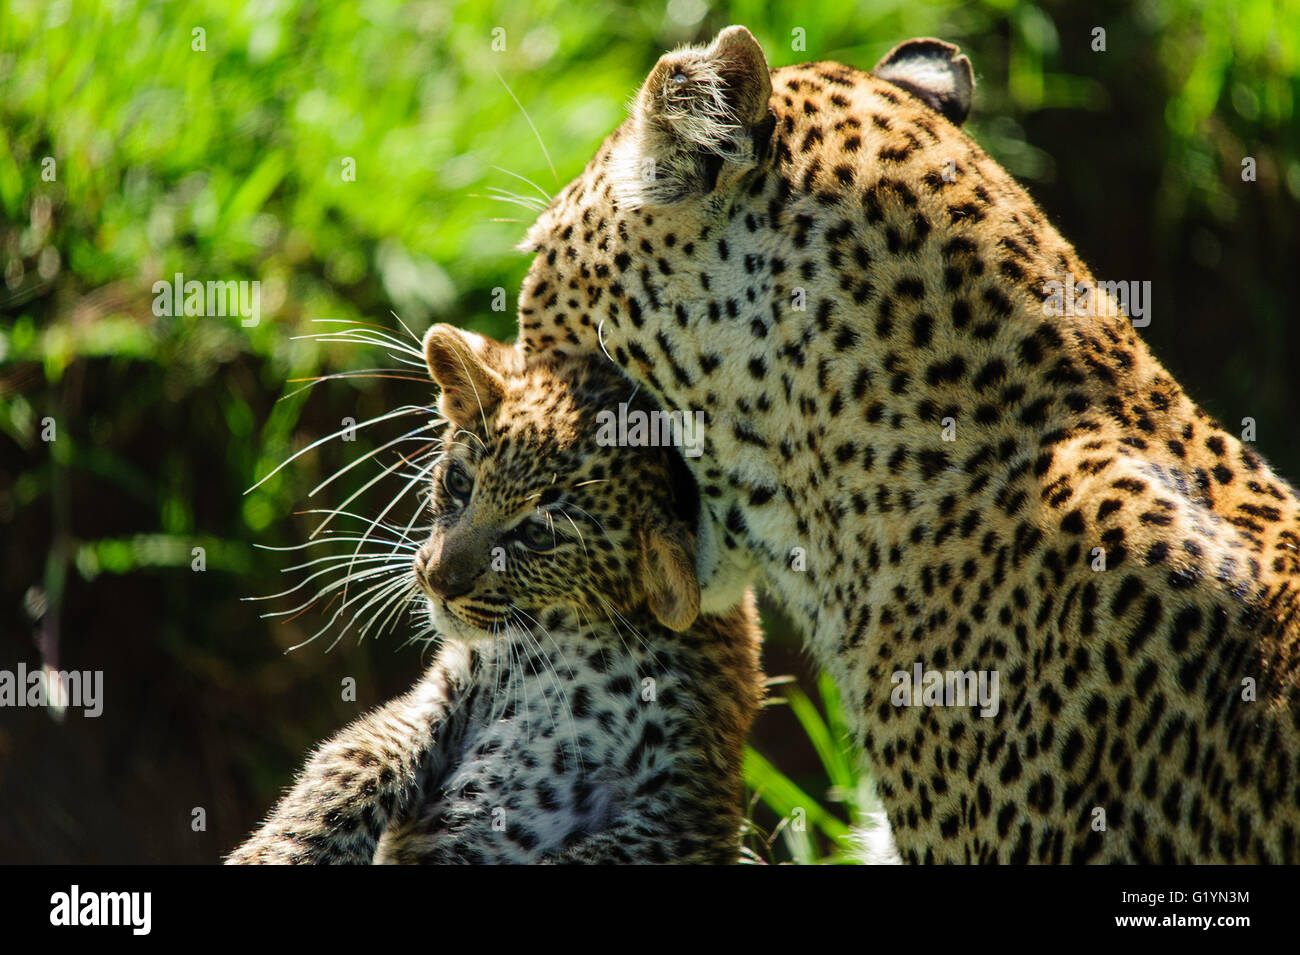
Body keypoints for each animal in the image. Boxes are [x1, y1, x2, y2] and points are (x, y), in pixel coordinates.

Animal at [227, 324, 763, 864]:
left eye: (539, 535)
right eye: (458, 481)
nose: (437, 580)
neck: (571, 641)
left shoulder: (689, 802)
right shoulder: (448, 687)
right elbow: (354, 761)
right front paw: (276, 852)